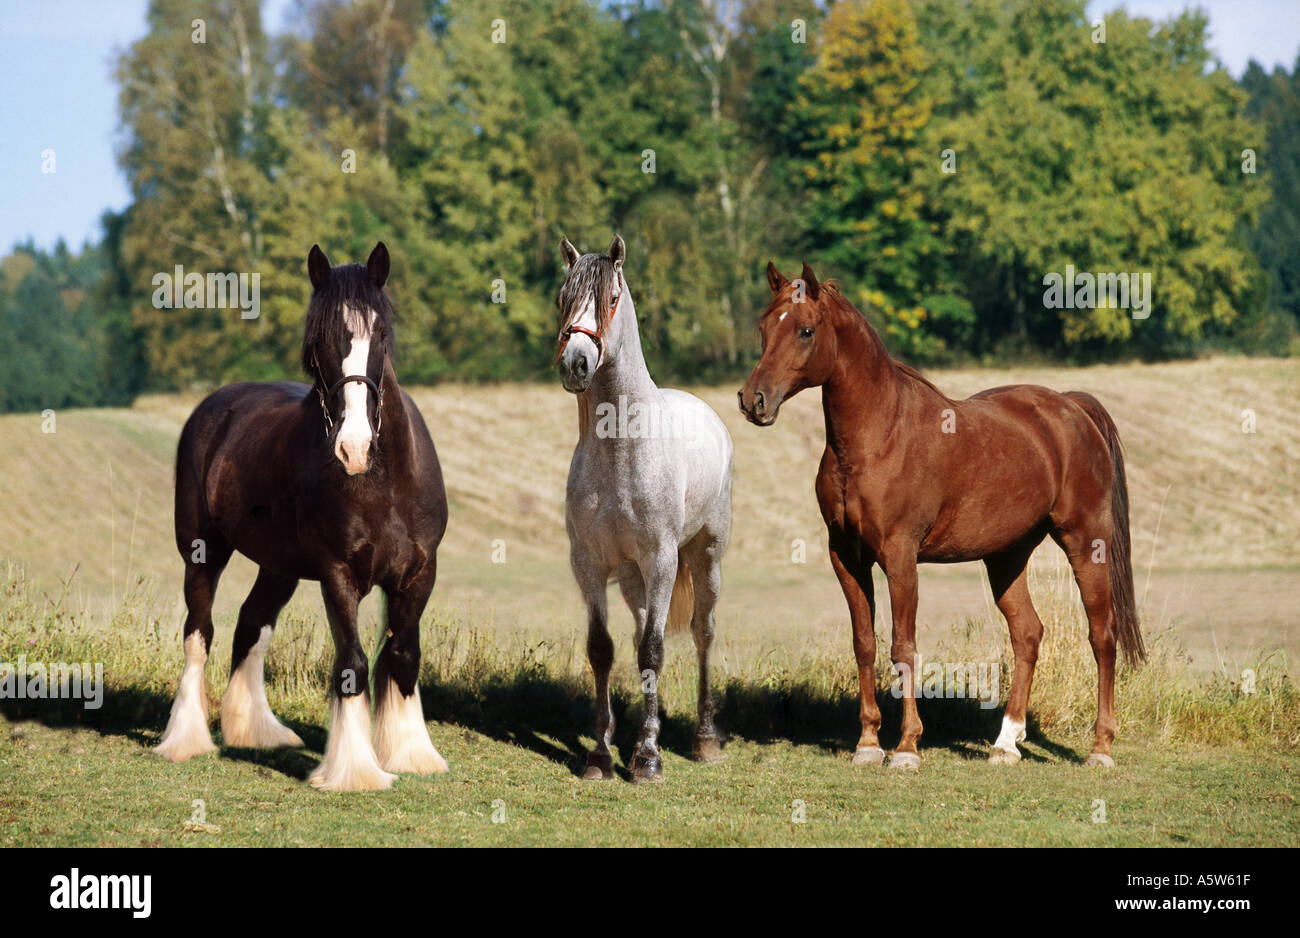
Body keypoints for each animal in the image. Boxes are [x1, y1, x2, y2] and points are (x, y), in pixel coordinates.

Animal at [154, 242, 450, 791]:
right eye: (320, 341)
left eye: (381, 334)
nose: (354, 449)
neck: (383, 481)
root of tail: (215, 407)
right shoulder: (339, 575)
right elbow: (352, 662)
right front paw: (355, 770)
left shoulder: (419, 574)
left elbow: (403, 655)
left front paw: (411, 753)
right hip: (202, 553)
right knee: (198, 633)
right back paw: (186, 740)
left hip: (279, 567)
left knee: (251, 625)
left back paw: (256, 731)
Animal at [555, 234, 733, 782]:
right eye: (563, 298)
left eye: (610, 298)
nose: (575, 363)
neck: (621, 449)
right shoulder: (589, 564)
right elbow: (604, 650)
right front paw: (600, 754)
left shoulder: (662, 559)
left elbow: (654, 650)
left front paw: (648, 758)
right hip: (634, 576)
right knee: (637, 637)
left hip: (704, 557)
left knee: (702, 632)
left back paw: (704, 738)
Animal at [738, 262, 1143, 770]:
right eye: (763, 328)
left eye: (806, 330)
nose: (753, 400)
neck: (878, 438)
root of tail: (1071, 408)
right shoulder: (845, 557)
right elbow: (864, 643)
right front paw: (867, 743)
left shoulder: (900, 556)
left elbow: (903, 647)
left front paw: (907, 747)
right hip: (1007, 556)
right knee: (1027, 634)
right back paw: (1006, 743)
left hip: (1086, 542)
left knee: (1102, 636)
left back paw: (1100, 748)